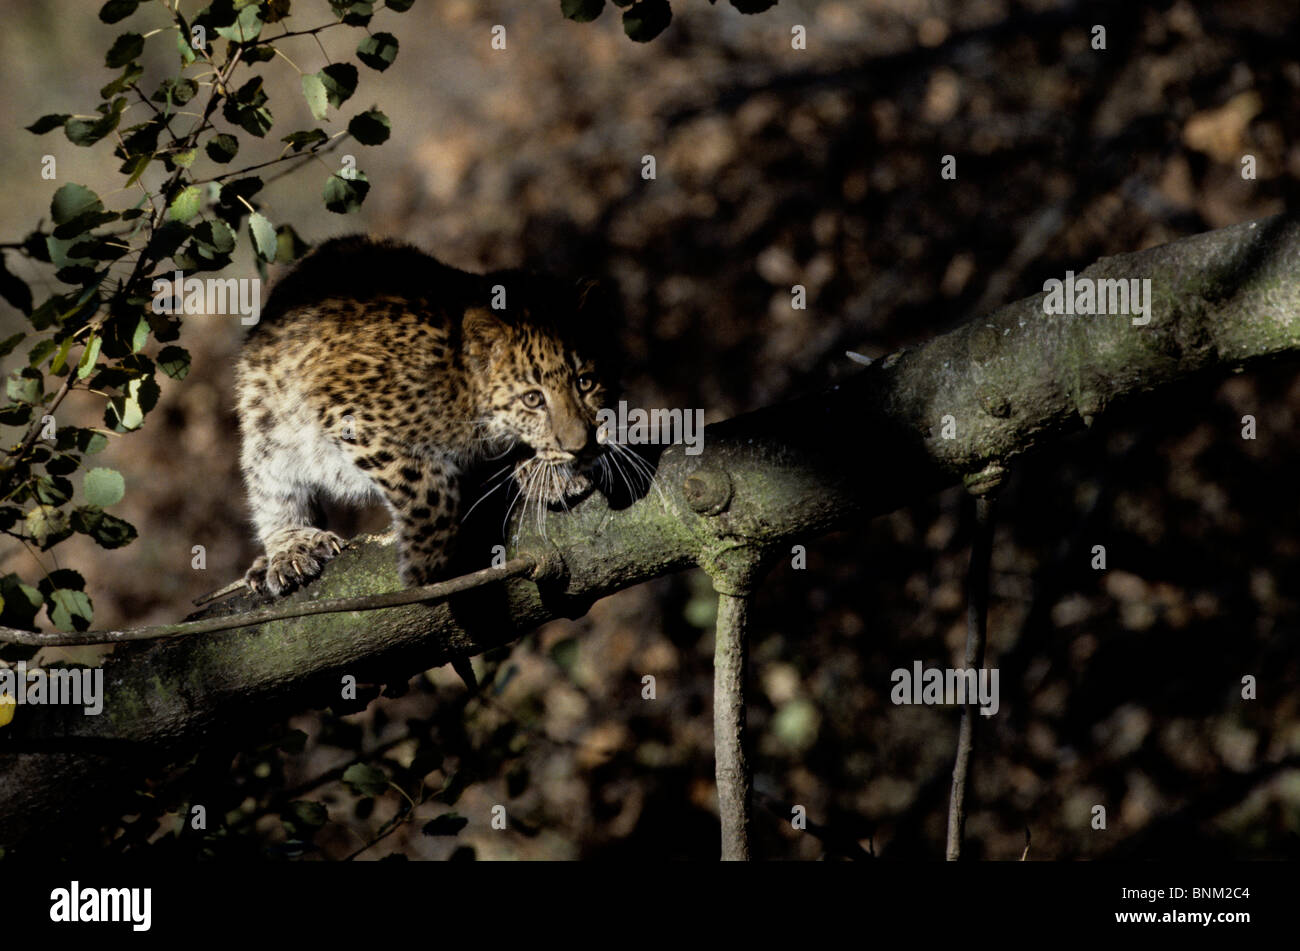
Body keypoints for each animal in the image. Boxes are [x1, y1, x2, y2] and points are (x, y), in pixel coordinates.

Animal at [234, 235, 616, 597]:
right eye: (533, 399)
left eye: (585, 383)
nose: (582, 447)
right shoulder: (342, 397)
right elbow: (421, 482)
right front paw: (426, 561)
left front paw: (550, 474)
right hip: (267, 428)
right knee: (273, 490)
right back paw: (289, 548)